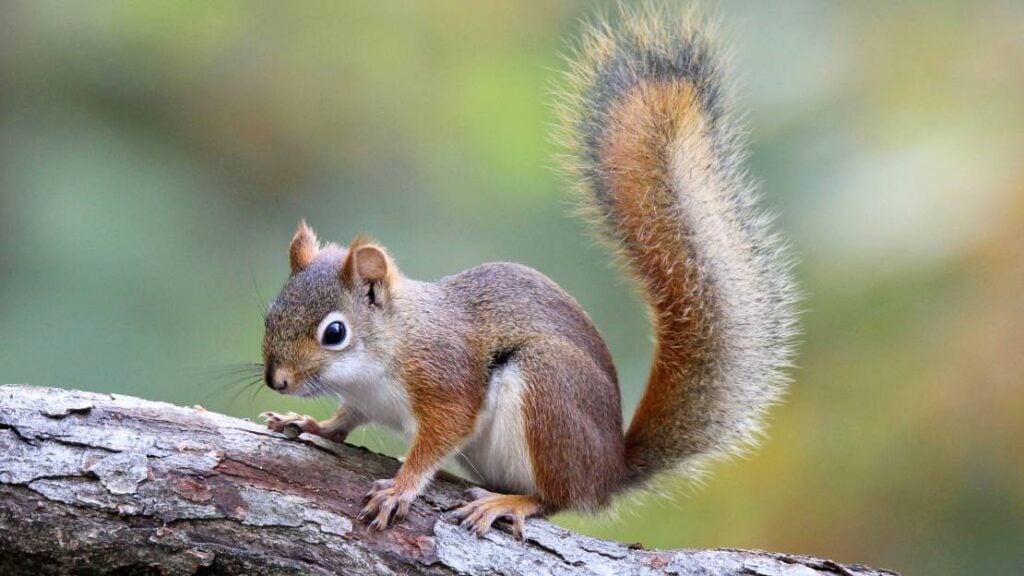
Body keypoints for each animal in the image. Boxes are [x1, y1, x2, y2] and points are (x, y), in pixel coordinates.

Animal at [259, 6, 797, 541]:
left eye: (334, 333)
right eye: (270, 313)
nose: (277, 380)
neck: (388, 350)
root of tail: (608, 472)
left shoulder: (445, 381)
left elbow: (437, 439)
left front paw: (400, 488)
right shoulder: (366, 400)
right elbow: (344, 419)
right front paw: (308, 424)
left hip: (546, 391)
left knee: (558, 498)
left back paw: (510, 501)